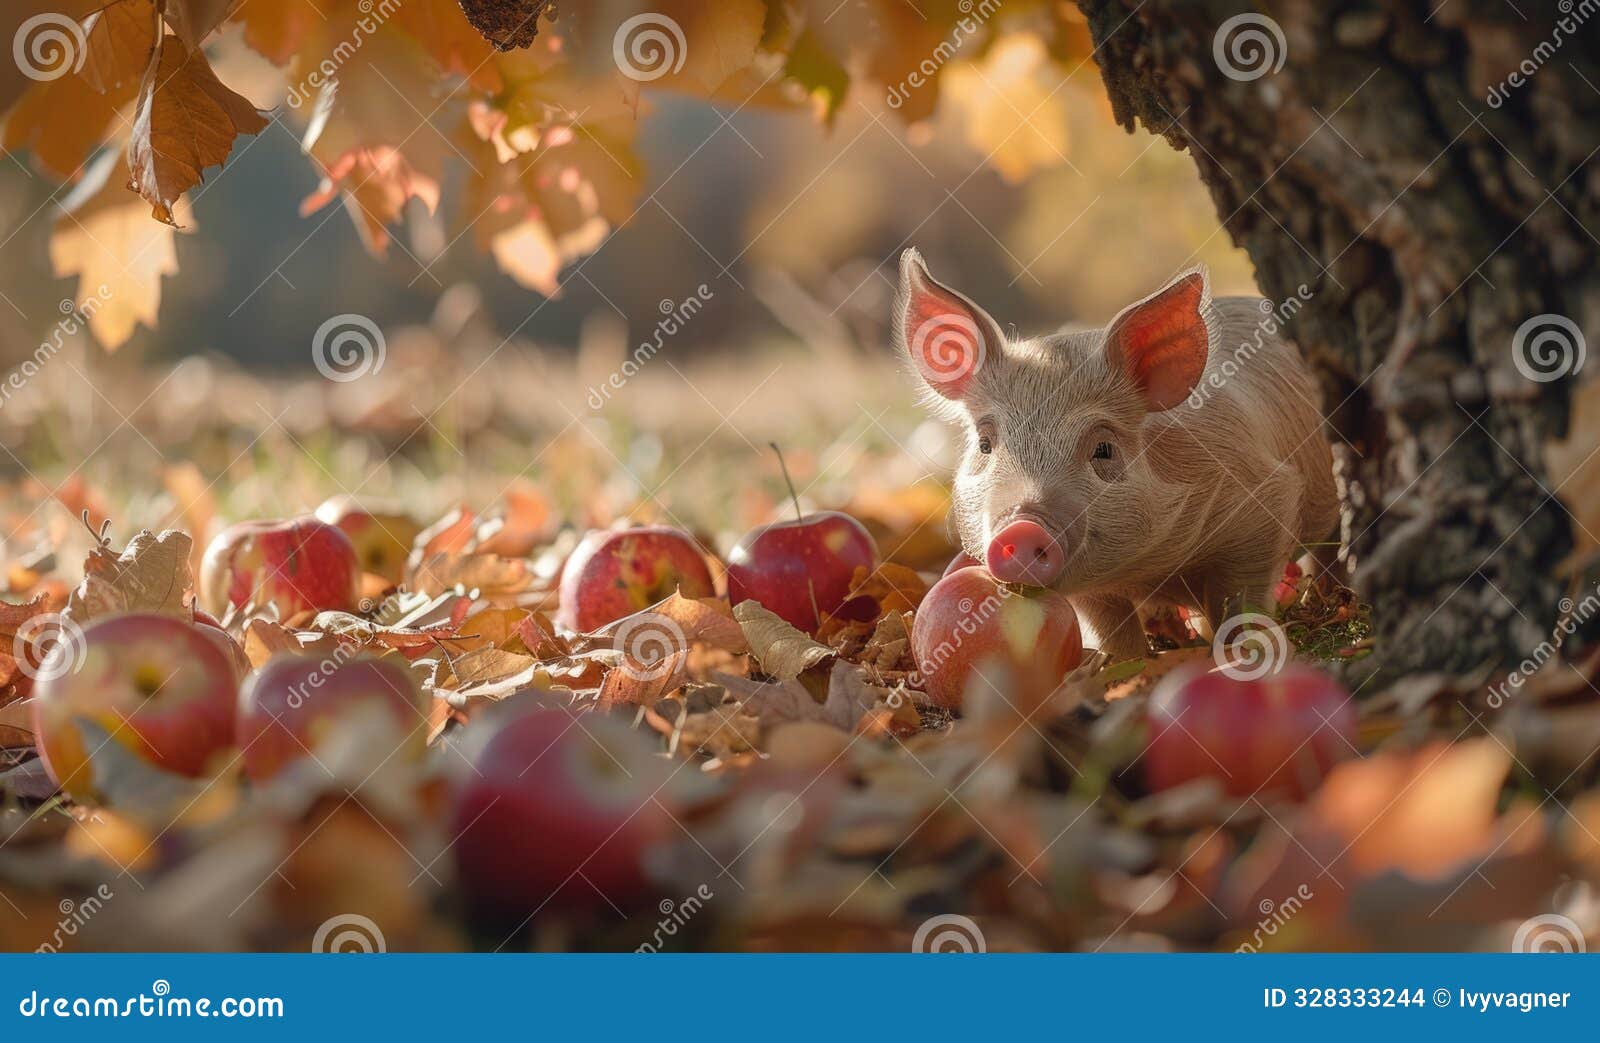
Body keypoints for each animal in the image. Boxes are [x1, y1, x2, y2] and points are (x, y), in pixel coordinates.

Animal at [895, 249, 1338, 659]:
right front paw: (1123, 664)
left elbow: (1241, 600)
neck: (1152, 571)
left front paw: (1242, 653)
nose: (1021, 527)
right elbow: (1110, 628)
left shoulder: (1265, 499)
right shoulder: (1093, 592)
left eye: (1103, 449)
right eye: (985, 444)